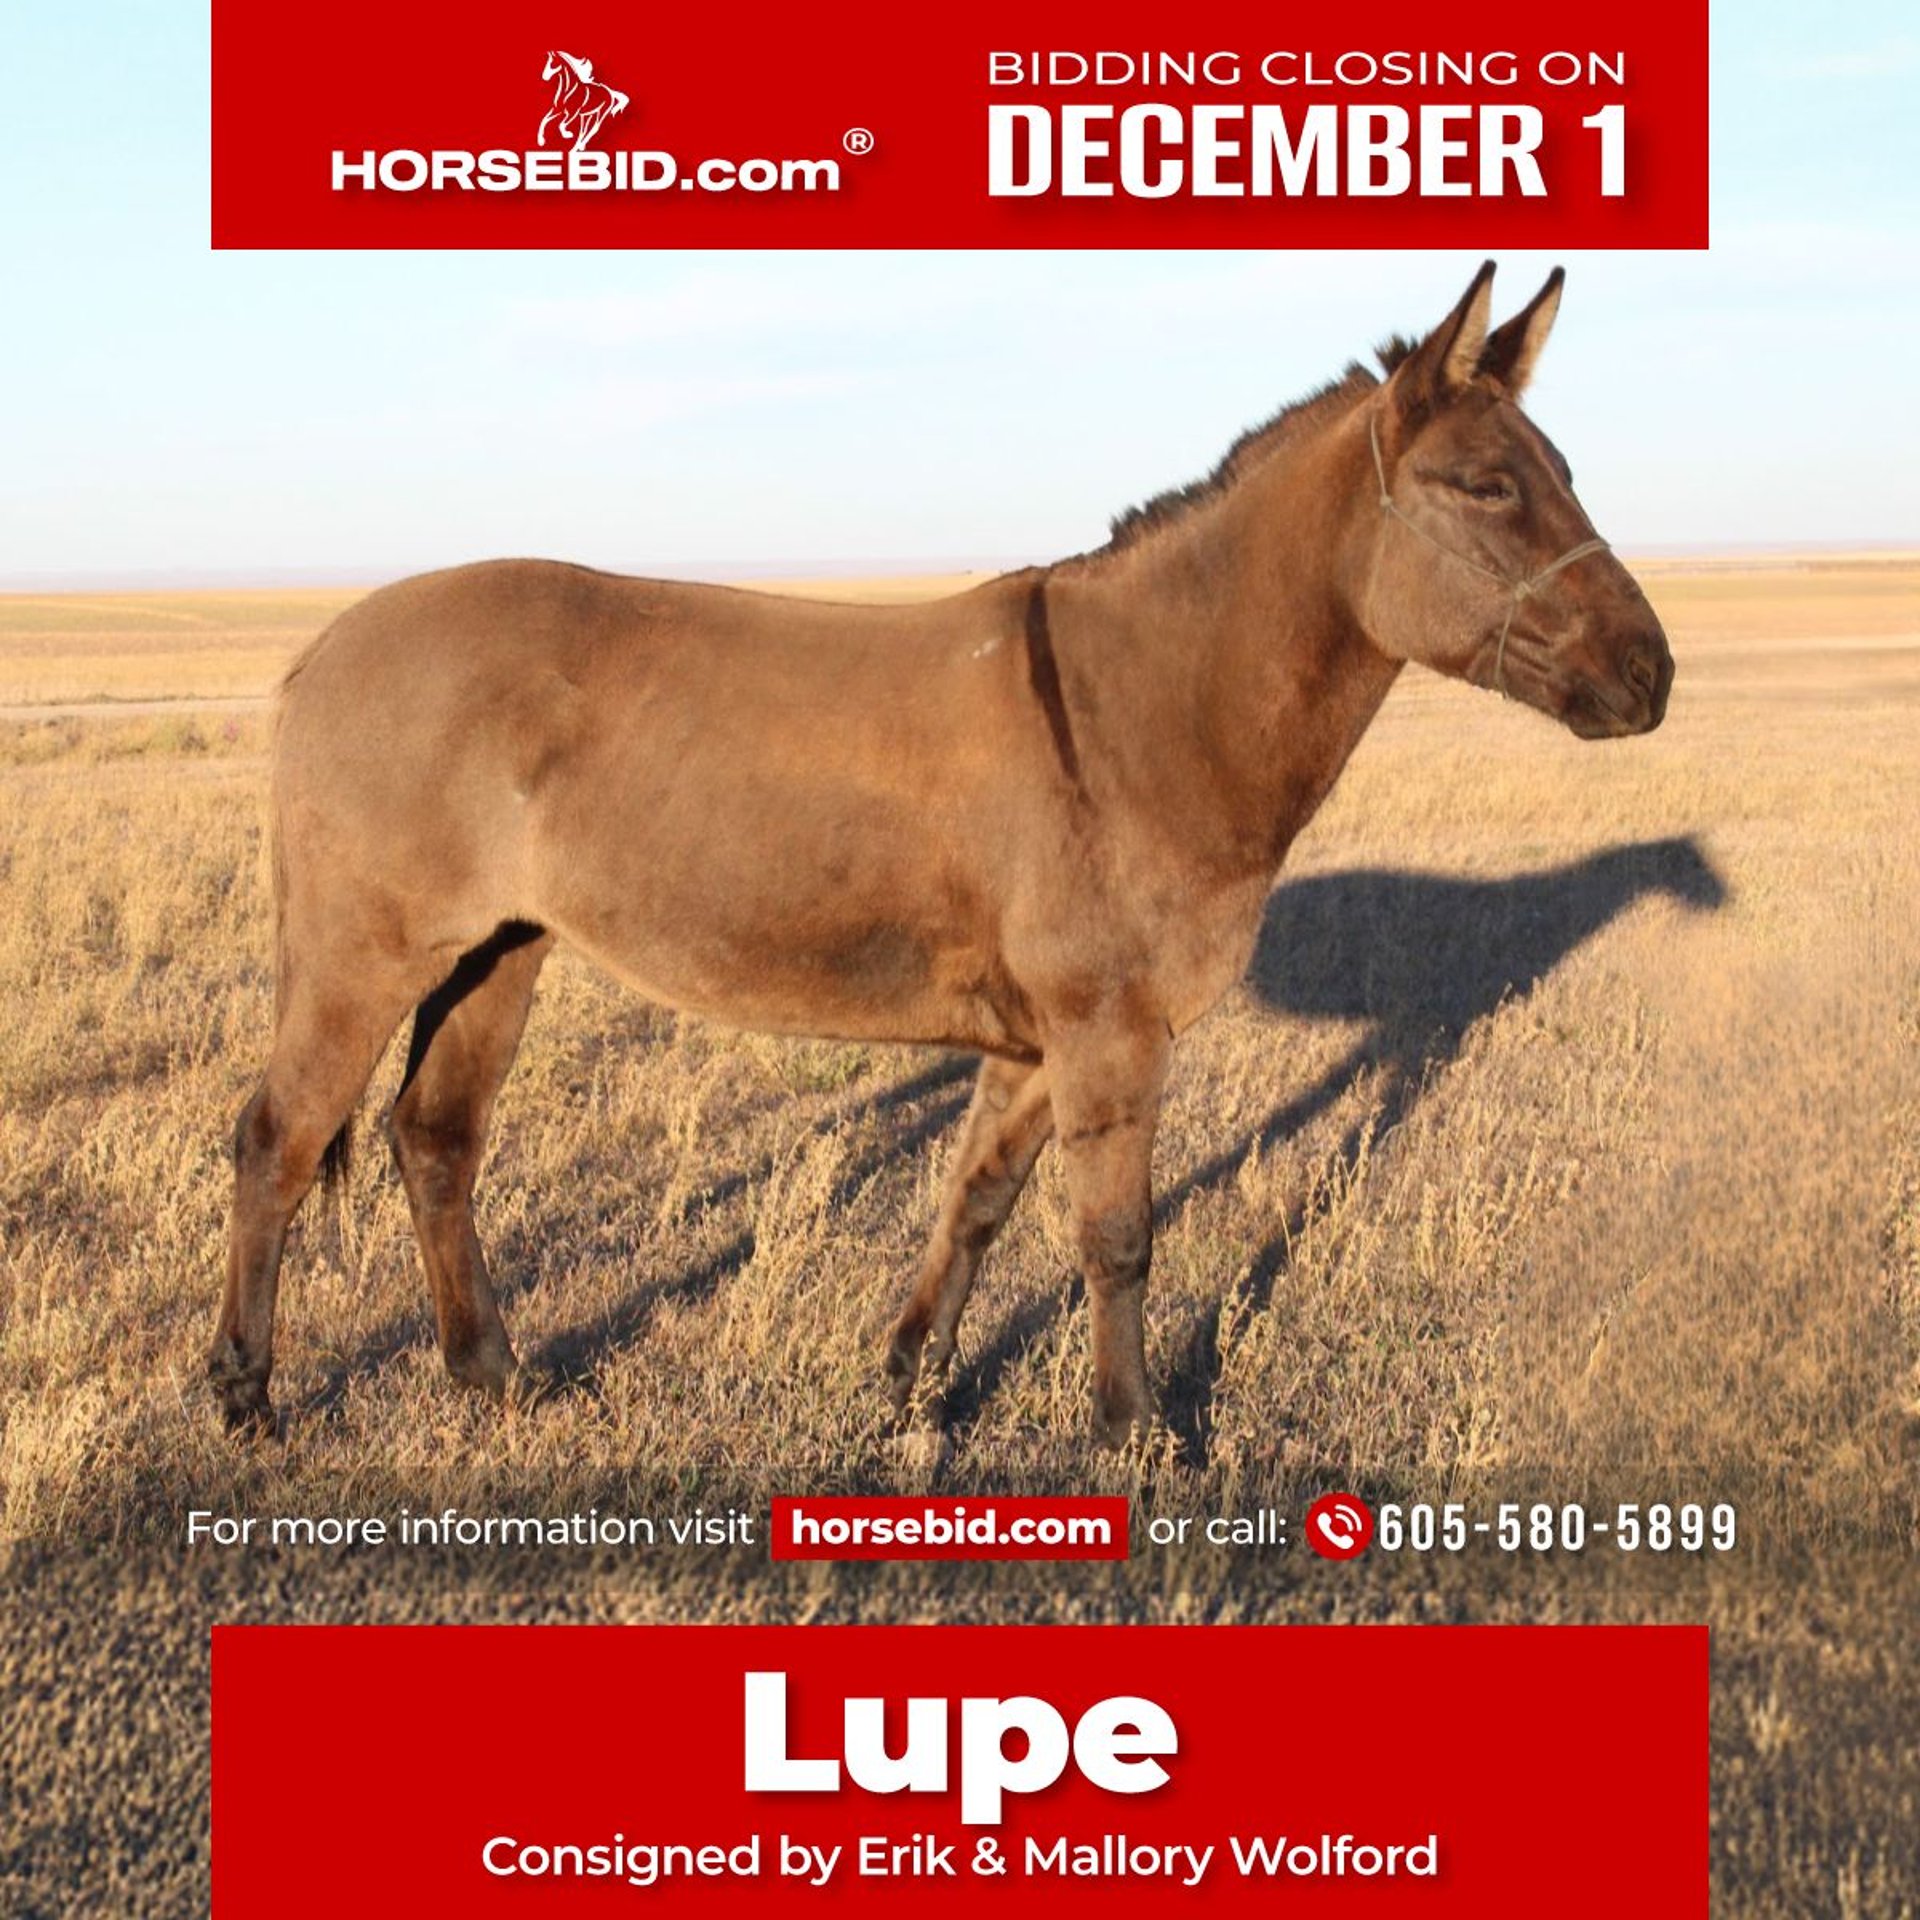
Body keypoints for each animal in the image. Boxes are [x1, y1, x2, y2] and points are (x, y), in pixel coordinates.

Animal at [209, 262, 1674, 1444]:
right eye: (1486, 487)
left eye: (1567, 476)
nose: (1652, 676)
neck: (1145, 709)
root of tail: (326, 644)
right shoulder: (1110, 1030)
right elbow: (1117, 1238)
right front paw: (1136, 1434)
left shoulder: (1037, 1040)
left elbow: (975, 1201)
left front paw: (909, 1384)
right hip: (365, 952)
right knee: (279, 1139)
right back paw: (247, 1399)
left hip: (498, 951)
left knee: (434, 1139)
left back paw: (492, 1377)